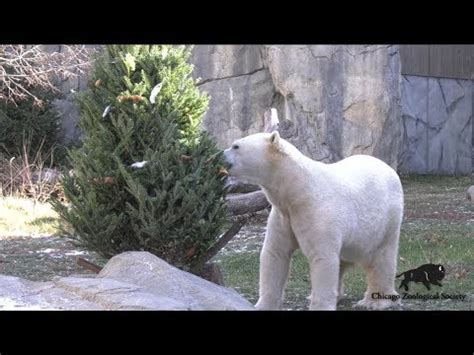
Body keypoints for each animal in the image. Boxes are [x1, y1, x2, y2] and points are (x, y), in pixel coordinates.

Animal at [223, 132, 404, 310]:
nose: (220, 155)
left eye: (236, 146)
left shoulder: (316, 212)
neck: (297, 190)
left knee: (381, 257)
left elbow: (322, 257)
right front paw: (262, 305)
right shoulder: (283, 216)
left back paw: (375, 302)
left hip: (387, 220)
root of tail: (388, 167)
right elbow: (275, 254)